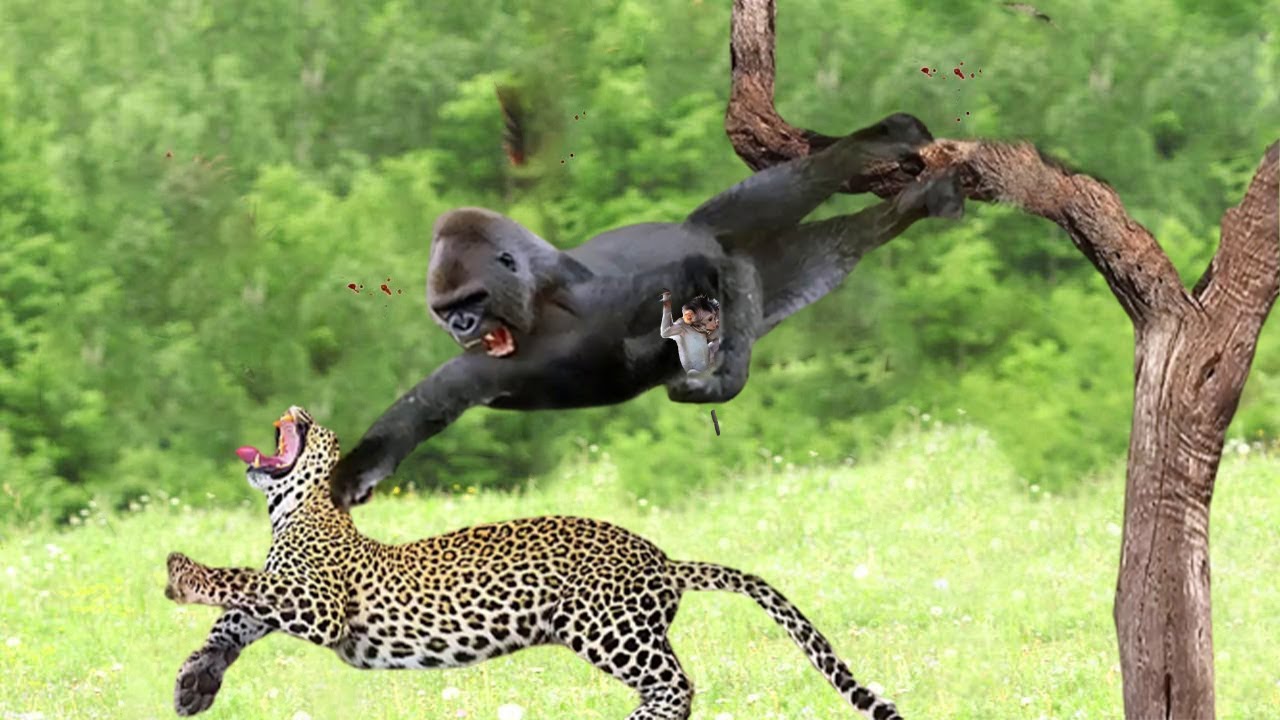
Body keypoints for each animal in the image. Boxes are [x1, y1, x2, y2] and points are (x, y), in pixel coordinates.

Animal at [164, 405, 903, 720]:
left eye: (317, 426)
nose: (299, 405)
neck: (293, 505)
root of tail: (662, 556)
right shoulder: (290, 600)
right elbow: (236, 616)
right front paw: (195, 682)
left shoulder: (321, 605)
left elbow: (239, 583)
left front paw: (182, 573)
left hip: (611, 630)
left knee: (677, 686)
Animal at [328, 113, 965, 508]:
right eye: (447, 309)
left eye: (473, 301)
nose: (460, 326)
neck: (542, 303)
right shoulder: (474, 364)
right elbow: (416, 414)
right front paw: (353, 476)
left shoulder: (605, 293)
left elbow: (720, 267)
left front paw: (722, 381)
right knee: (828, 251)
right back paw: (917, 199)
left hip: (702, 229)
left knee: (774, 206)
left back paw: (892, 139)